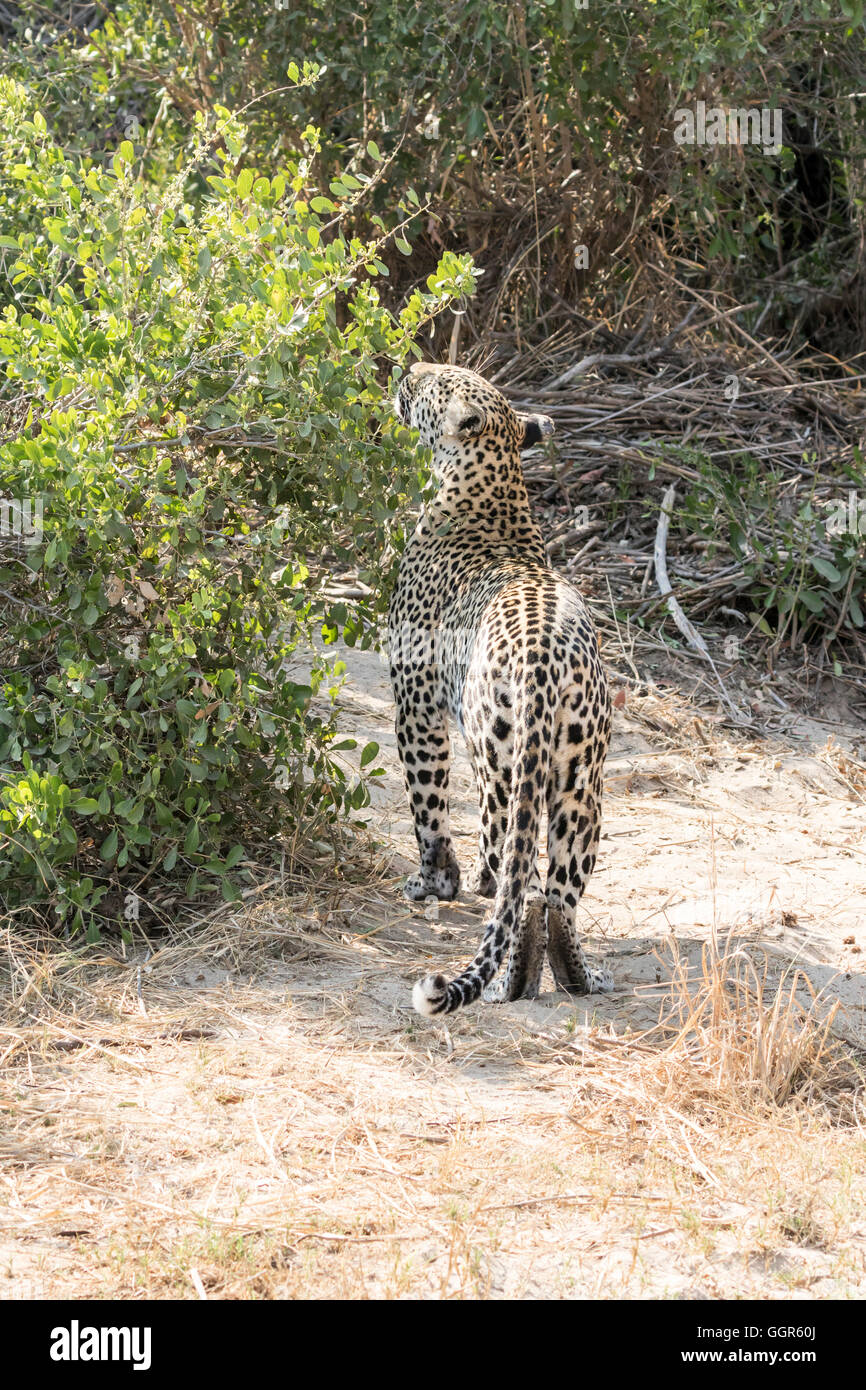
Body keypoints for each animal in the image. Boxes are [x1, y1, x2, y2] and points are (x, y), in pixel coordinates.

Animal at [388, 361, 613, 1017]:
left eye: (432, 381)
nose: (405, 368)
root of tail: (545, 656)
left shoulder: (417, 705)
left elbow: (428, 807)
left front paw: (435, 882)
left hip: (502, 772)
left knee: (524, 884)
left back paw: (505, 986)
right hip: (578, 784)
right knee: (557, 894)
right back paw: (576, 978)